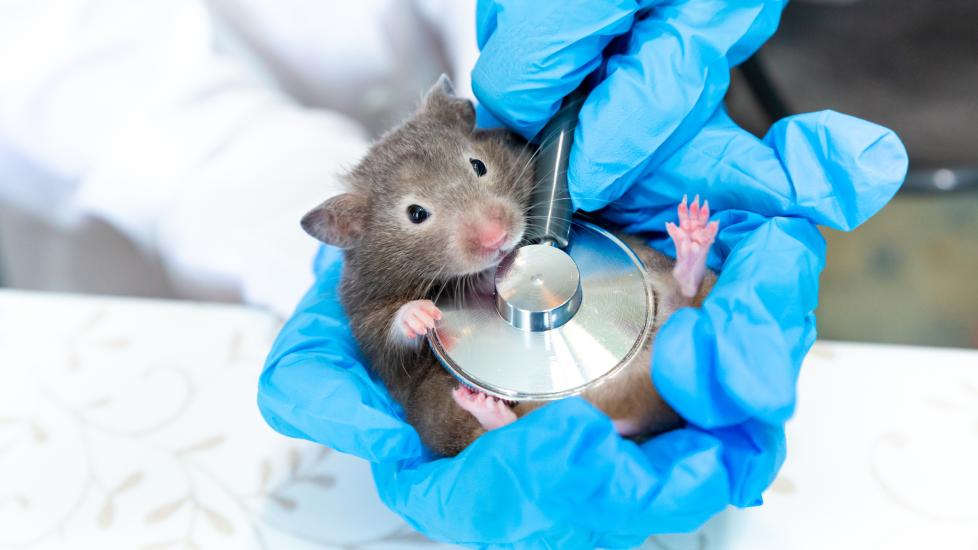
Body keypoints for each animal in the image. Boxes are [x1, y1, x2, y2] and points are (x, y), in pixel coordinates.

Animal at [300, 76, 718, 457]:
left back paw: (694, 235)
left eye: (479, 166)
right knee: (495, 433)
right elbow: (390, 330)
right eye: (416, 214)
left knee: (685, 295)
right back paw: (485, 407)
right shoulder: (366, 320)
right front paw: (425, 314)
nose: (498, 237)